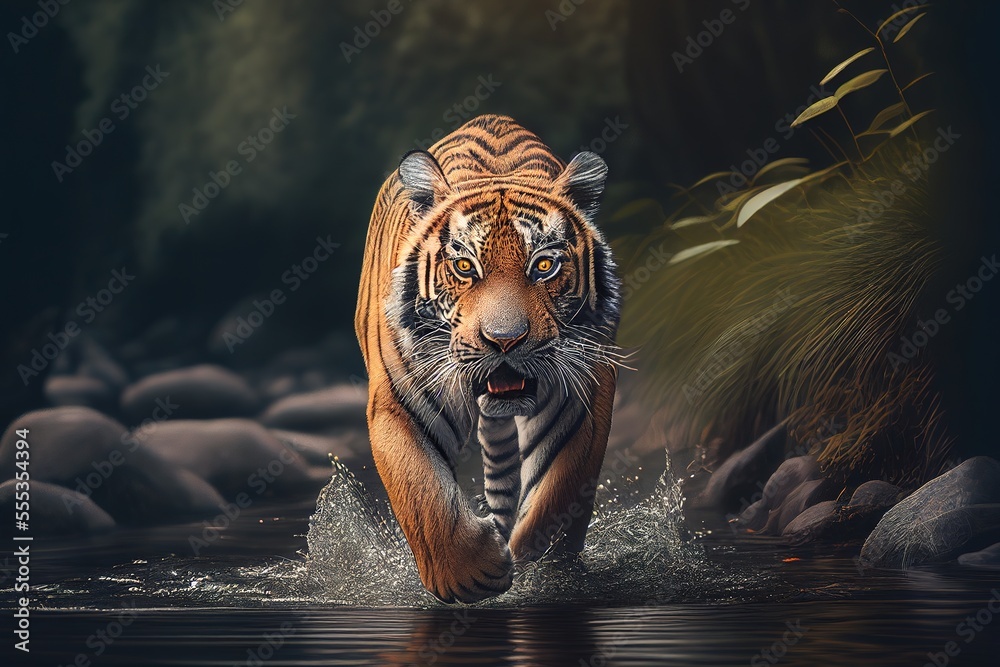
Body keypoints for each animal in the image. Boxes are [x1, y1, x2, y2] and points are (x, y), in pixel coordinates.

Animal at [354, 114, 622, 603]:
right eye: (464, 267)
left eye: (543, 266)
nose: (504, 341)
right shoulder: (399, 399)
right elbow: (422, 493)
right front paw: (472, 574)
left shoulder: (583, 395)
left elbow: (560, 488)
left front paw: (540, 566)